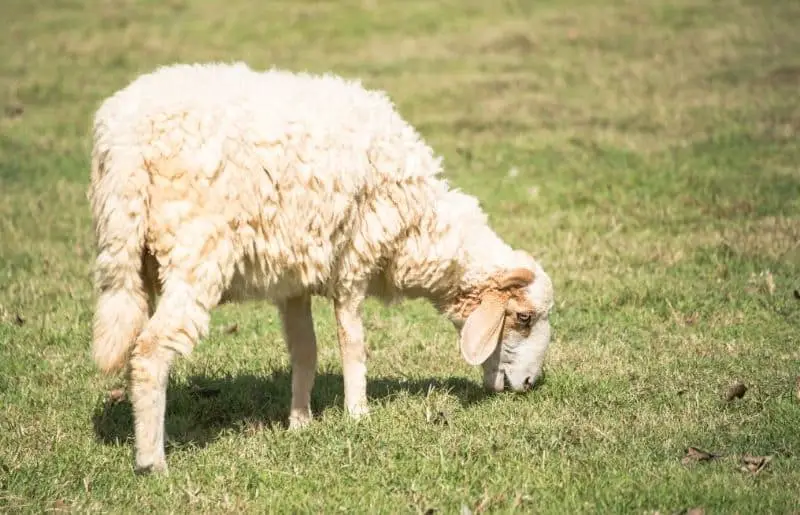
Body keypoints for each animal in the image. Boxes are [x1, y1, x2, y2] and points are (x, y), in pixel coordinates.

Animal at [89, 62, 555, 474]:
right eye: (524, 317)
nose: (530, 385)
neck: (420, 227)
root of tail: (124, 141)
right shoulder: (355, 260)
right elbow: (354, 344)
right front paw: (358, 413)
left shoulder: (292, 277)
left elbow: (305, 351)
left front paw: (299, 421)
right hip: (195, 252)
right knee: (151, 351)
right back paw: (152, 462)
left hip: (131, 256)